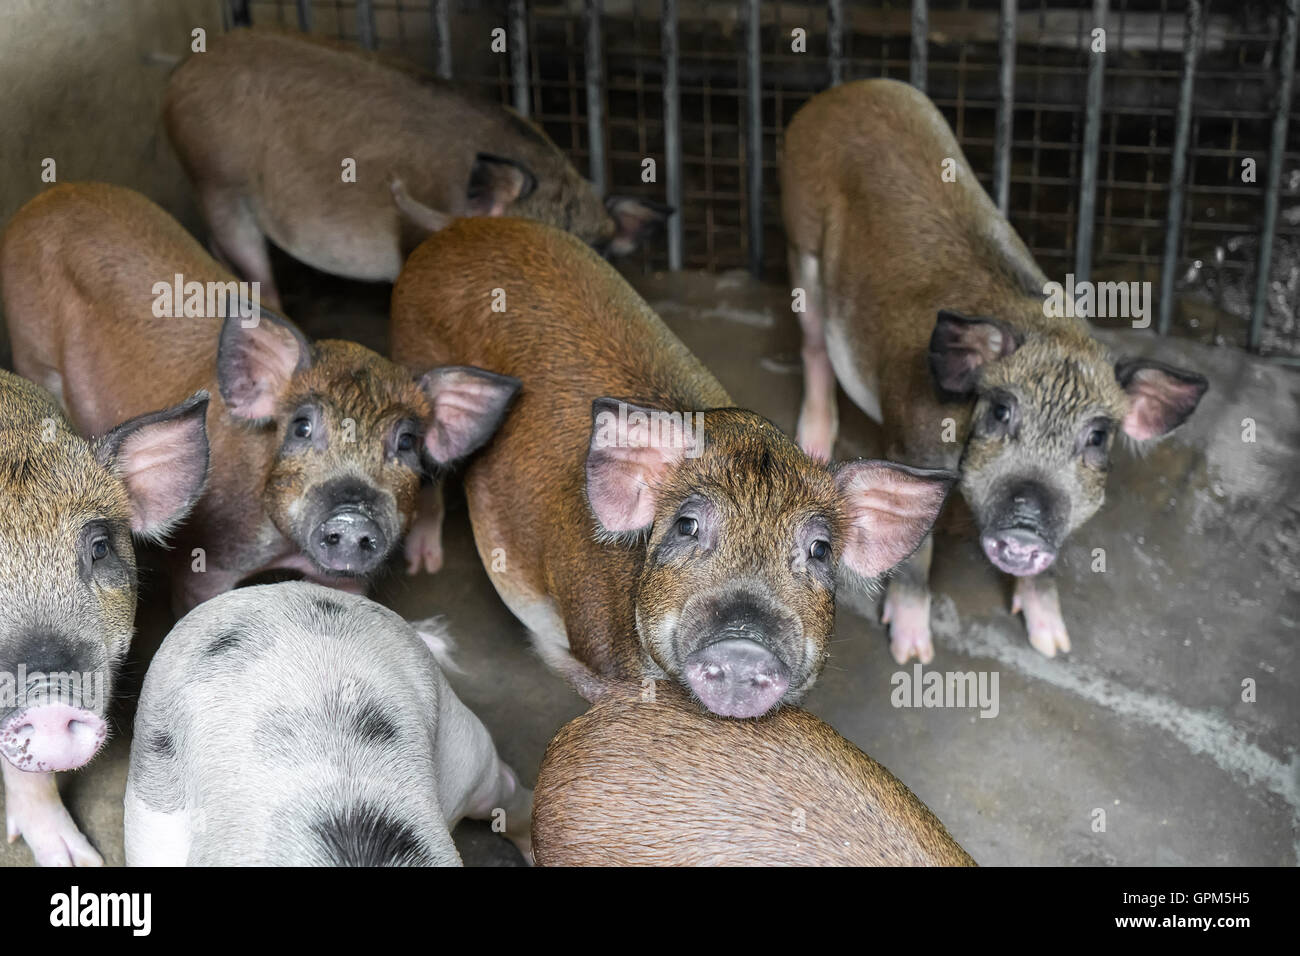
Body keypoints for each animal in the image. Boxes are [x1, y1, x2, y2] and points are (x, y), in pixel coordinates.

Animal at [1, 182, 519, 614]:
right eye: (302, 427)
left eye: (407, 442)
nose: (353, 514)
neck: (282, 551)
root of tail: (42, 201)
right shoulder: (206, 559)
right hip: (30, 348)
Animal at [781, 79, 1208, 662]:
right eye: (1001, 412)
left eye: (1098, 437)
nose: (1025, 524)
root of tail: (841, 92)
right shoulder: (911, 441)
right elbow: (916, 557)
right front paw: (913, 656)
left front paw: (1054, 645)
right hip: (800, 240)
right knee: (813, 344)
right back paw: (816, 445)